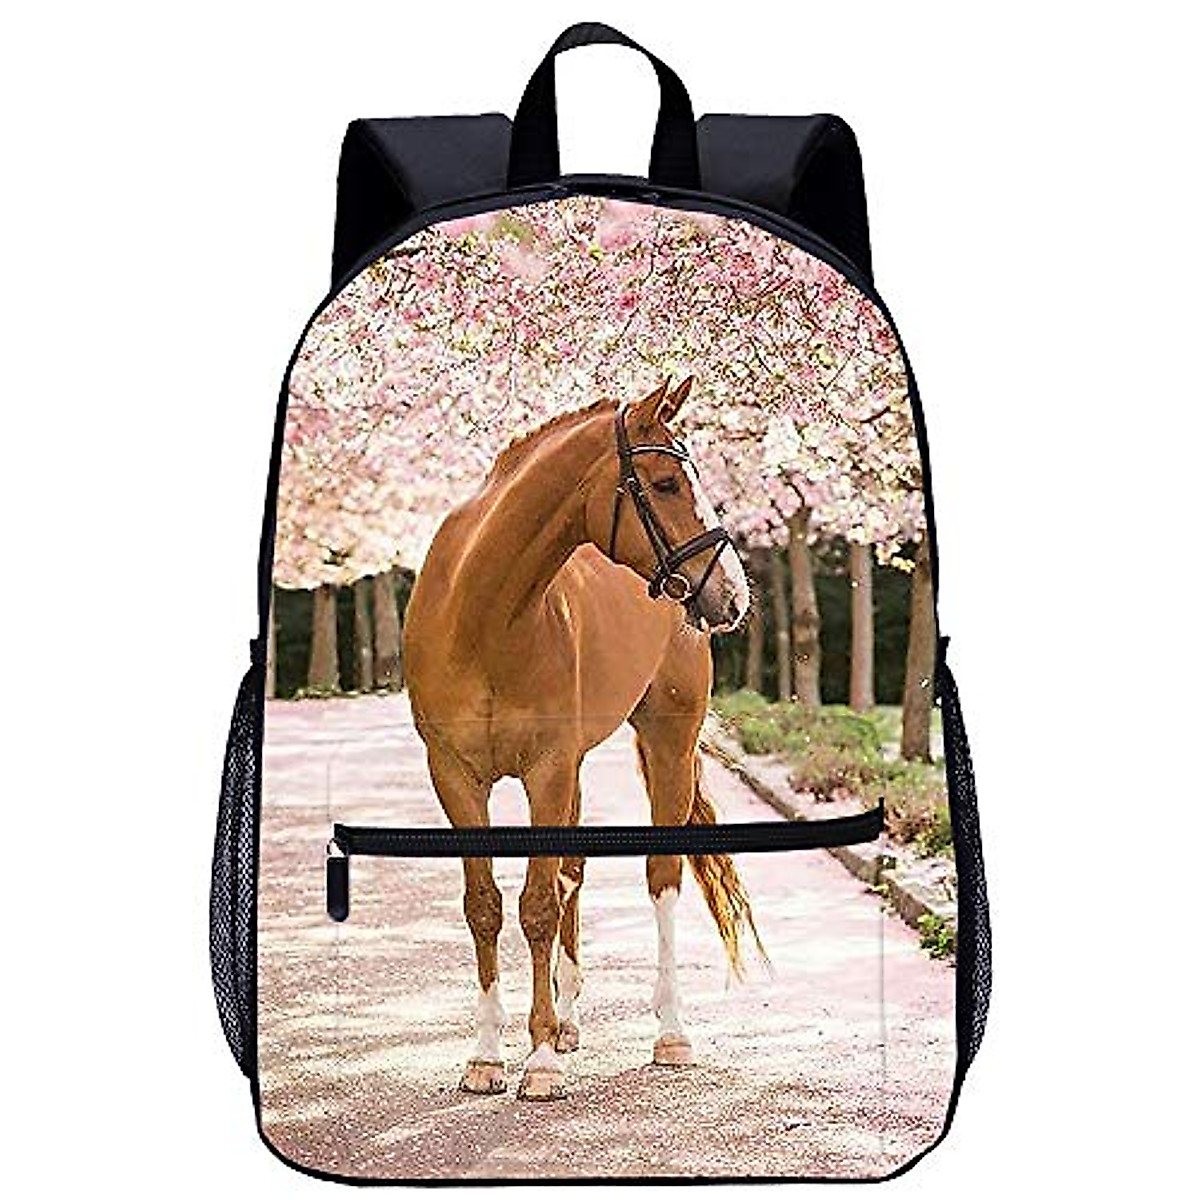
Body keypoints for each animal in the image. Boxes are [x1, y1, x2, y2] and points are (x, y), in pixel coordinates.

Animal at [403, 378, 756, 1100]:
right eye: (666, 483)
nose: (732, 595)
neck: (483, 617)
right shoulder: (455, 777)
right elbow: (485, 905)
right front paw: (487, 1054)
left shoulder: (547, 770)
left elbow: (538, 905)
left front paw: (537, 1062)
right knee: (574, 870)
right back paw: (565, 1022)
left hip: (667, 746)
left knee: (659, 878)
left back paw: (668, 1032)